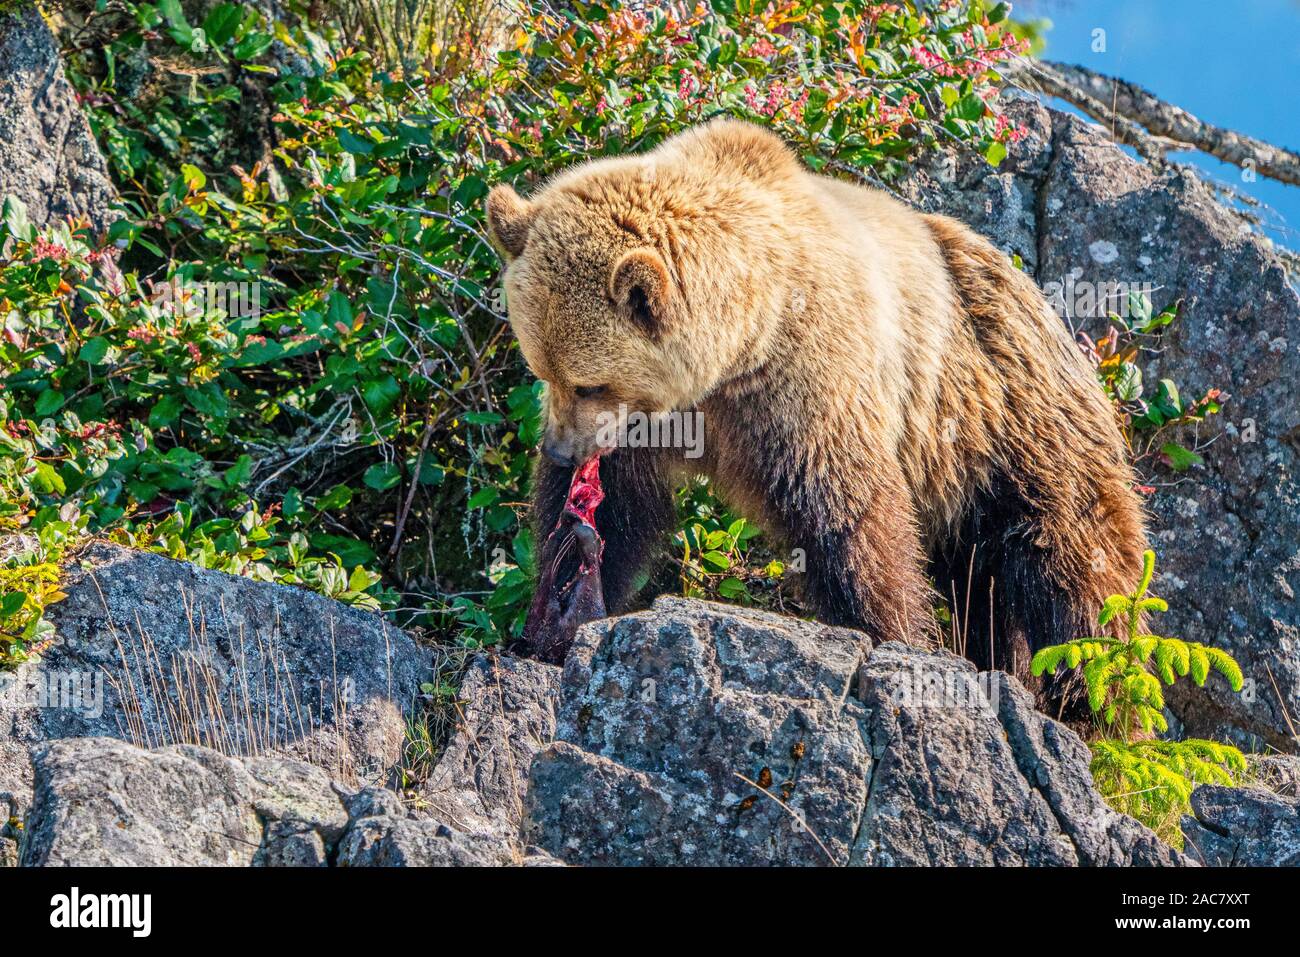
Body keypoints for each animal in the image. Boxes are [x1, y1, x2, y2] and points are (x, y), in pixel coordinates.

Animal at [486, 118, 1147, 703]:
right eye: (542, 369)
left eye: (589, 384)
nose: (561, 451)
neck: (741, 344)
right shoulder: (658, 423)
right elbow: (617, 506)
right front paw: (557, 602)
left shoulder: (806, 382)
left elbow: (850, 517)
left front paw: (891, 635)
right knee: (981, 583)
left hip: (1015, 421)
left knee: (1081, 573)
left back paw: (1101, 709)